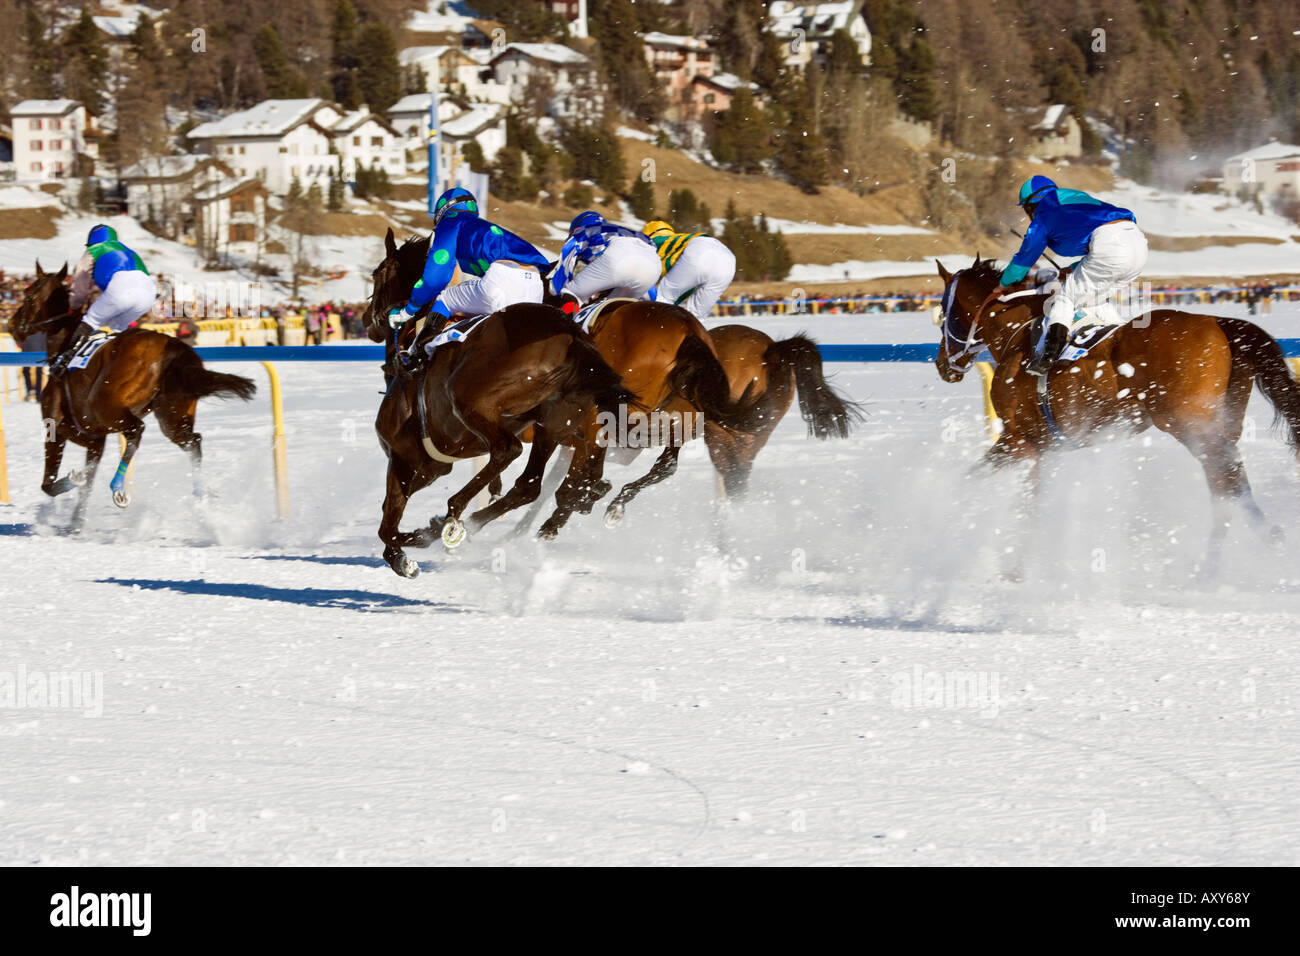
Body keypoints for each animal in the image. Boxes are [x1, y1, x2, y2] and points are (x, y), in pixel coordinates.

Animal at [8, 262, 256, 532]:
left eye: (28, 295)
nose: (11, 324)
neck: (64, 349)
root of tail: (173, 347)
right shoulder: (95, 439)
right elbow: (87, 485)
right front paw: (76, 523)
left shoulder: (57, 428)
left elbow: (50, 484)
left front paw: (74, 481)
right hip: (173, 416)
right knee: (193, 441)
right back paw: (202, 495)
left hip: (105, 404)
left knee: (137, 430)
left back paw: (118, 489)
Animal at [366, 230, 635, 577]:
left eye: (378, 275)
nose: (368, 320)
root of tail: (572, 336)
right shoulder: (430, 466)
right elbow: (391, 517)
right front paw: (414, 543)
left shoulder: (403, 457)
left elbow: (388, 521)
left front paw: (404, 553)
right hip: (553, 422)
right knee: (531, 484)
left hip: (470, 399)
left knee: (508, 451)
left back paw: (452, 517)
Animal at [934, 256, 1300, 575]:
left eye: (943, 313)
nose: (941, 365)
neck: (1017, 336)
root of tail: (1217, 322)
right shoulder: (1044, 449)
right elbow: (1023, 499)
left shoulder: (1019, 440)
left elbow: (978, 484)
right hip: (1221, 421)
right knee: (1227, 482)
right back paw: (1218, 562)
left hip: (1189, 424)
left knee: (1228, 479)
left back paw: (1252, 545)